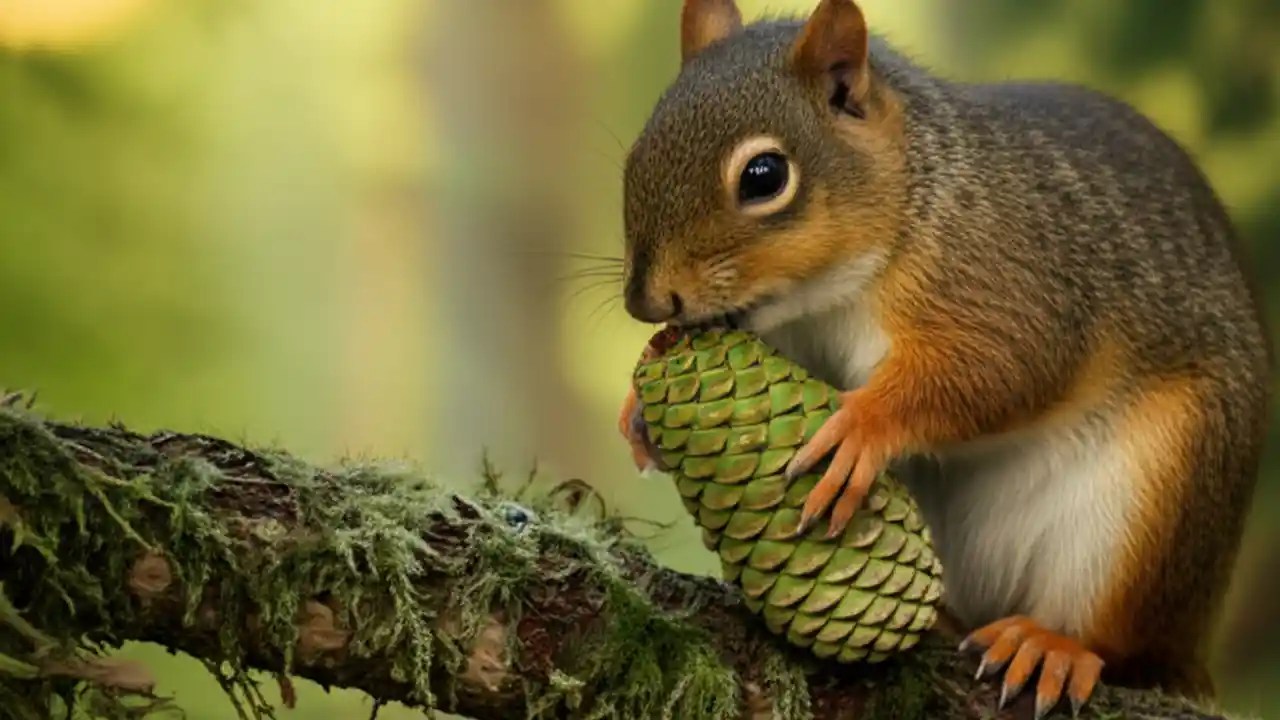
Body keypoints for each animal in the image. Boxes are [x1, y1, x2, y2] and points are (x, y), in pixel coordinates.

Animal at [615, 0, 1273, 717]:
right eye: (636, 154)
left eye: (764, 176)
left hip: (1157, 498)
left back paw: (1052, 645)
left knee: (1115, 639)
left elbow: (1002, 365)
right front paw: (638, 407)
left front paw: (863, 425)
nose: (647, 303)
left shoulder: (1011, 275)